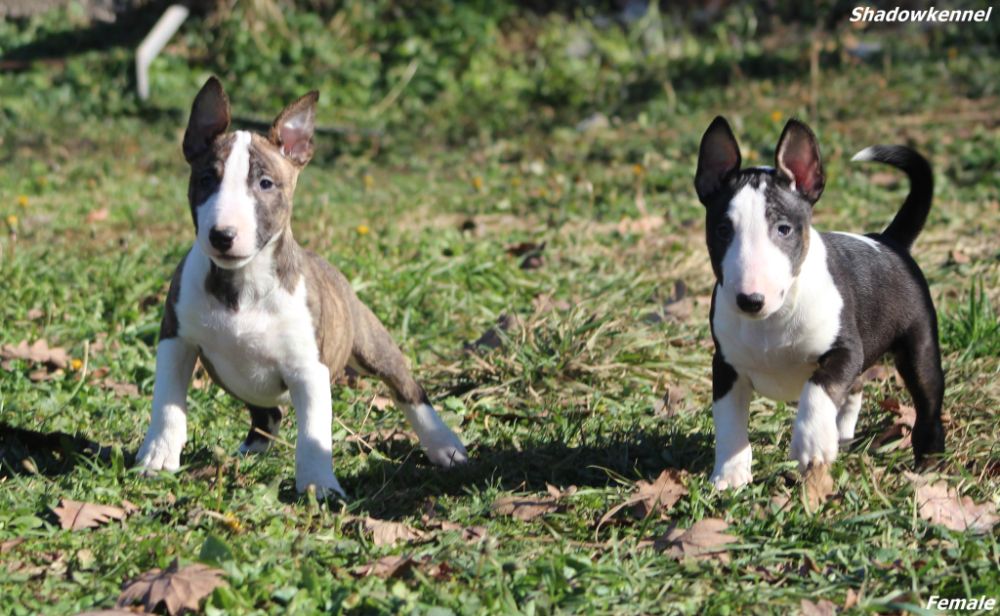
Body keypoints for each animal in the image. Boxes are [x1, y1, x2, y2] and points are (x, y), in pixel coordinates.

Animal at [134, 78, 472, 500]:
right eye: (206, 180)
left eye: (266, 184)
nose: (222, 236)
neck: (241, 282)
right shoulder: (177, 340)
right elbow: (167, 402)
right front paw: (158, 456)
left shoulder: (308, 368)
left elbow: (314, 431)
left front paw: (319, 485)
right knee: (269, 413)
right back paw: (250, 450)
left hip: (373, 346)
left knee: (408, 391)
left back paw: (445, 446)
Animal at [696, 115, 944, 488]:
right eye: (723, 230)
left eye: (784, 229)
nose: (750, 300)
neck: (772, 320)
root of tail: (888, 241)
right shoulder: (725, 366)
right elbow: (728, 421)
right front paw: (729, 473)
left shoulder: (846, 350)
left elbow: (819, 386)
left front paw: (811, 443)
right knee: (855, 389)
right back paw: (840, 434)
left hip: (919, 348)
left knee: (927, 400)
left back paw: (929, 461)